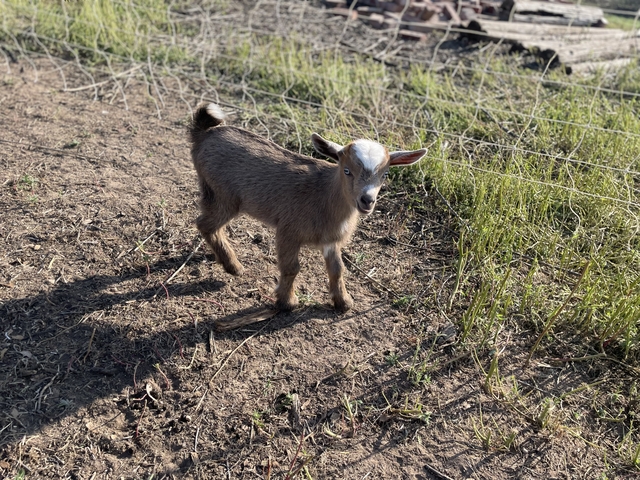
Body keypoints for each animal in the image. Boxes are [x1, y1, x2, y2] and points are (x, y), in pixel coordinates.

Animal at [189, 103, 426, 312]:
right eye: (347, 170)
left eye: (385, 174)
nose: (367, 200)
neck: (323, 195)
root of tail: (204, 134)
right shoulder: (288, 231)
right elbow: (292, 267)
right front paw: (287, 302)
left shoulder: (331, 241)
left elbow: (337, 270)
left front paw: (343, 302)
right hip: (224, 195)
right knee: (204, 223)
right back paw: (234, 266)